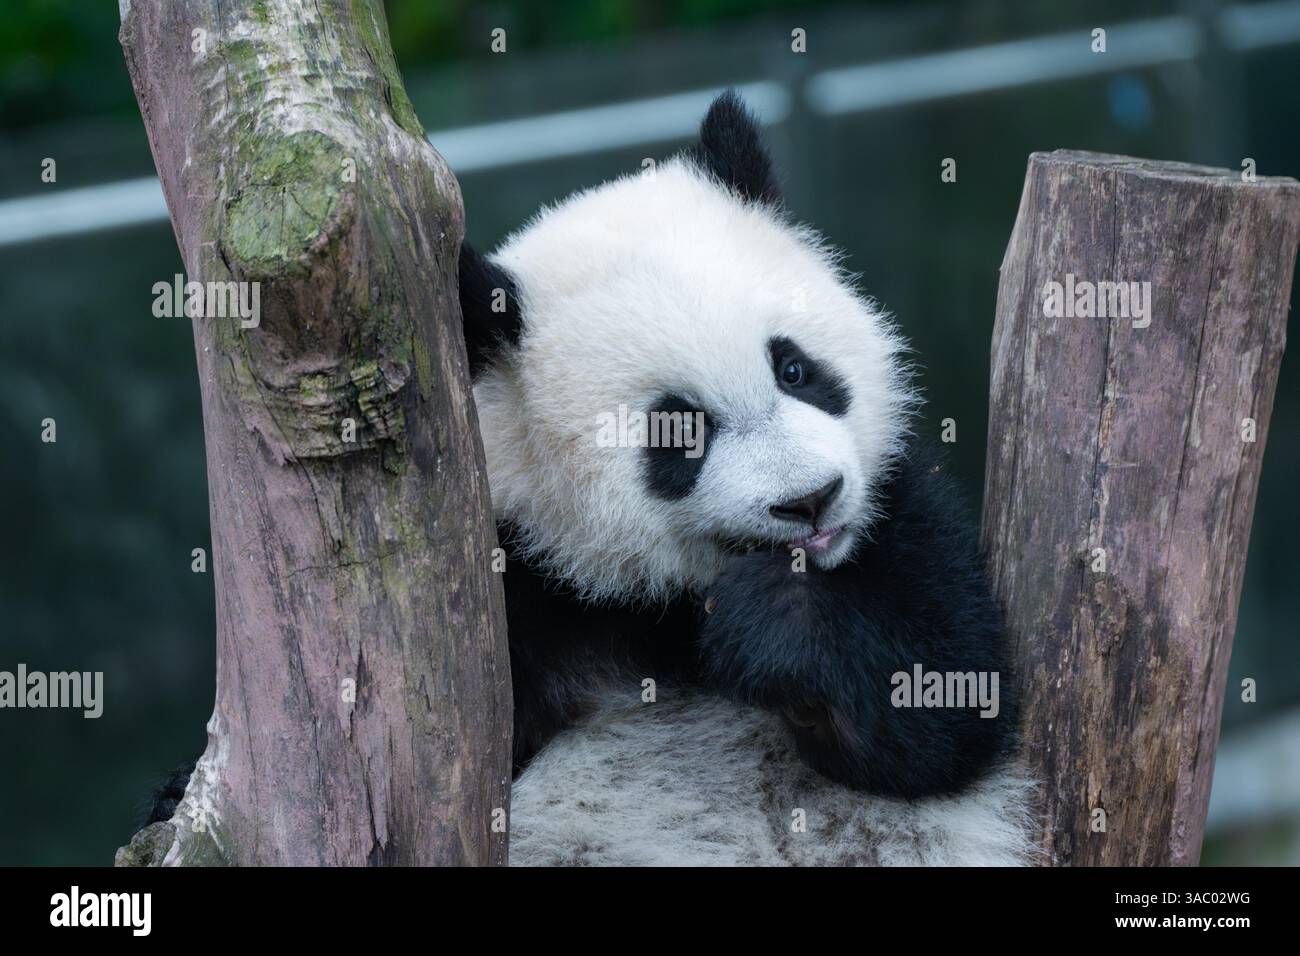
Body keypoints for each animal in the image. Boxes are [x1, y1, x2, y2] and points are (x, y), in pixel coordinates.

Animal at [148, 92, 1037, 866]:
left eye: (794, 368)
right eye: (681, 431)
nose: (810, 501)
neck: (658, 600)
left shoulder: (897, 504)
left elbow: (944, 706)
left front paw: (780, 620)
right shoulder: (516, 576)